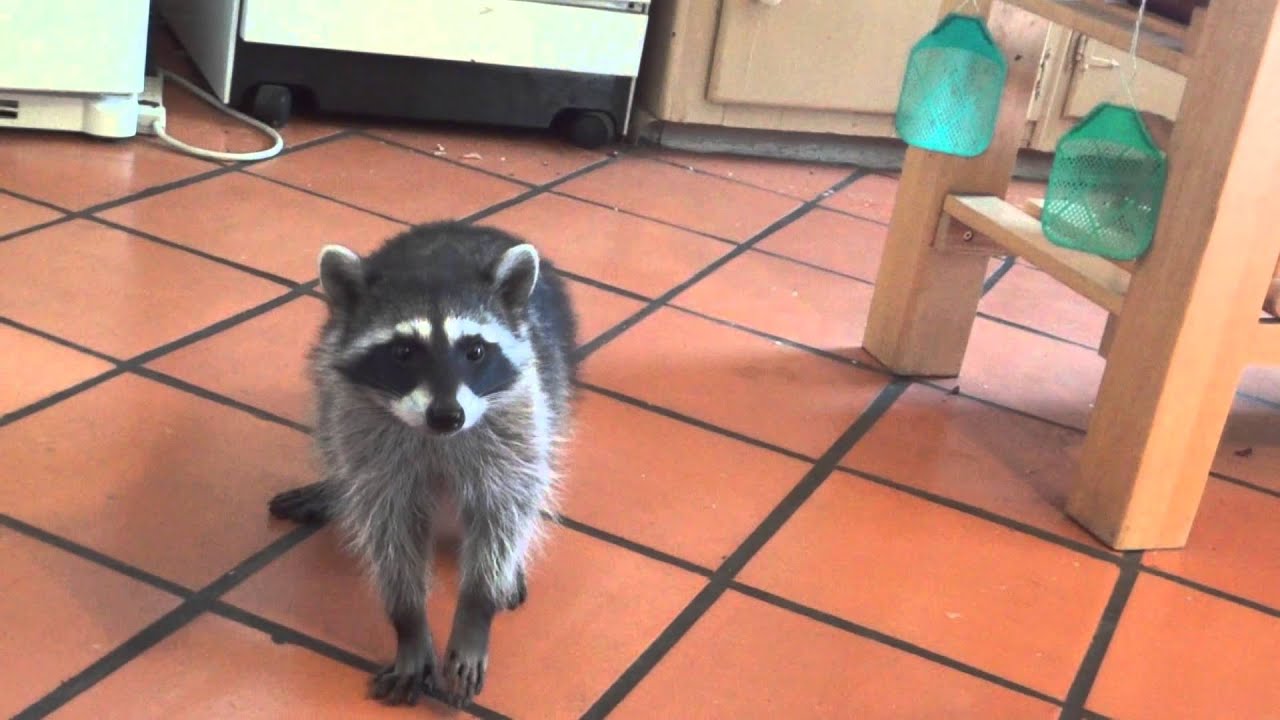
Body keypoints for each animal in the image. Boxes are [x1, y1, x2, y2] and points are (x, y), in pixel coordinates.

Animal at [267, 222, 577, 707]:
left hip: (551, 380)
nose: (447, 416)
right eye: (403, 352)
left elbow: (505, 506)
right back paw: (333, 486)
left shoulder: (517, 414)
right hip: (330, 376)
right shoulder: (367, 432)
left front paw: (476, 609)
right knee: (330, 423)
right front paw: (409, 620)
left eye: (474, 351)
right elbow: (388, 527)